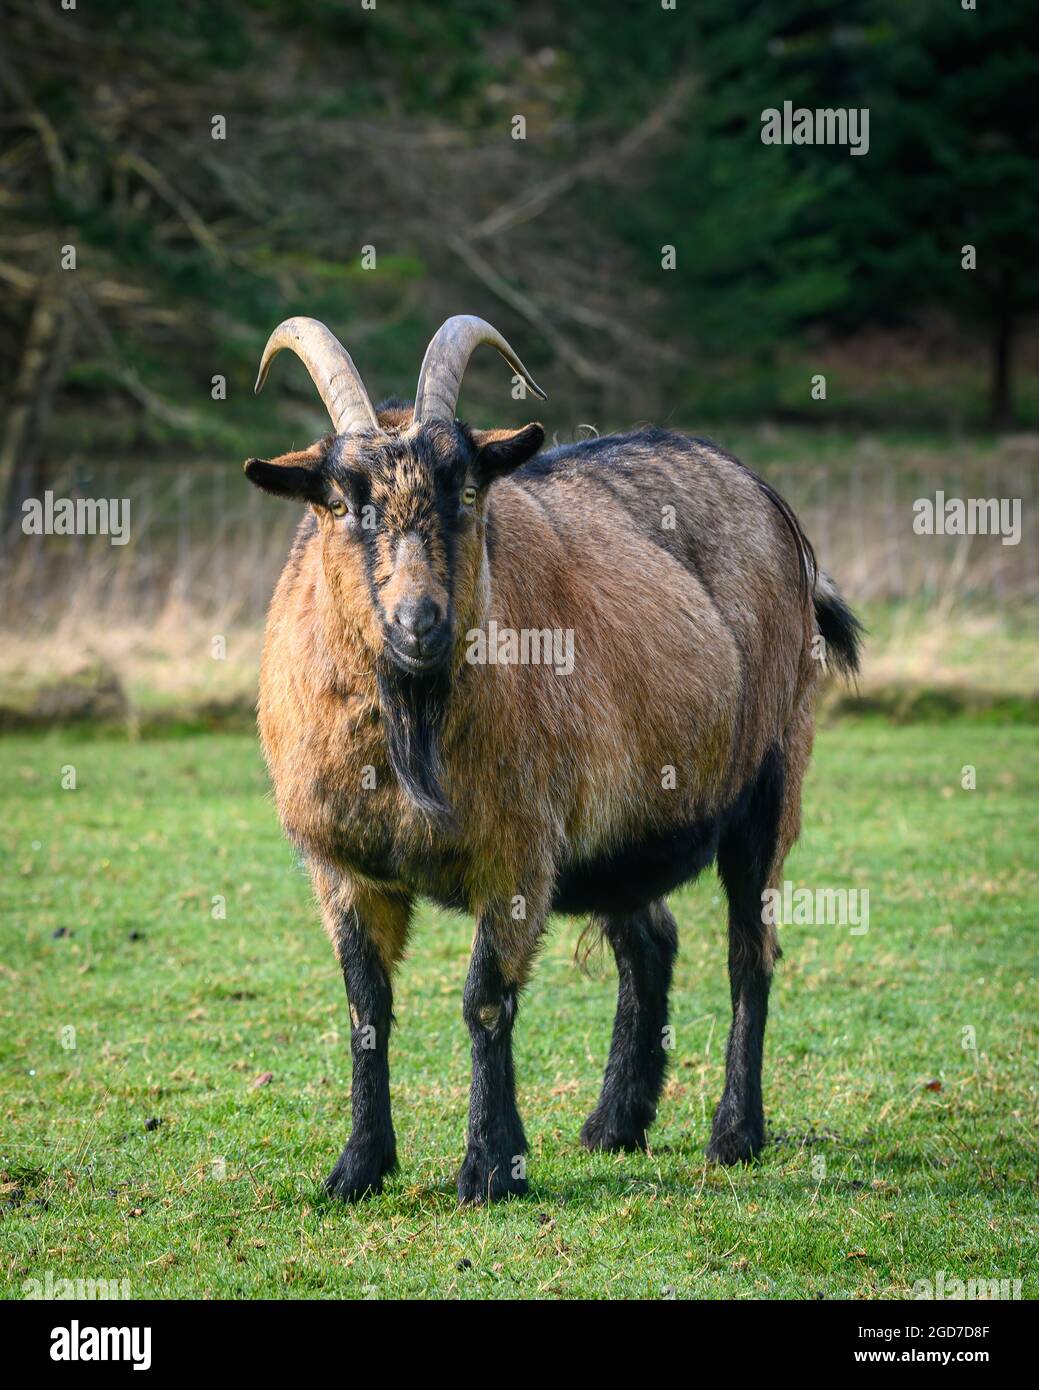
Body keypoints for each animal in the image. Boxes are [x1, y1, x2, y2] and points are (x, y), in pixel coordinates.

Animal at [244, 314, 862, 1204]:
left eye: (467, 491)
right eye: (338, 501)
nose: (418, 621)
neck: (412, 735)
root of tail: (761, 494)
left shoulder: (518, 853)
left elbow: (484, 1001)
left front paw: (489, 1167)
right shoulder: (341, 864)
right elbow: (366, 1009)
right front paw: (357, 1167)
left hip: (772, 774)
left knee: (751, 952)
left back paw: (733, 1134)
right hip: (627, 824)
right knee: (650, 942)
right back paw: (615, 1123)